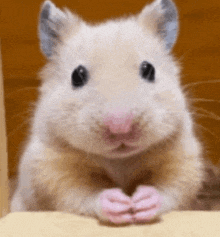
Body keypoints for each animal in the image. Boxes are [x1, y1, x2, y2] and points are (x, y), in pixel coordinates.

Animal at [11, 0, 205, 224]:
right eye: (77, 75)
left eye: (149, 69)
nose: (120, 126)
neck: (119, 160)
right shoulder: (49, 168)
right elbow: (78, 192)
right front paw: (120, 205)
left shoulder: (183, 157)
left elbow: (173, 186)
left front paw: (141, 203)